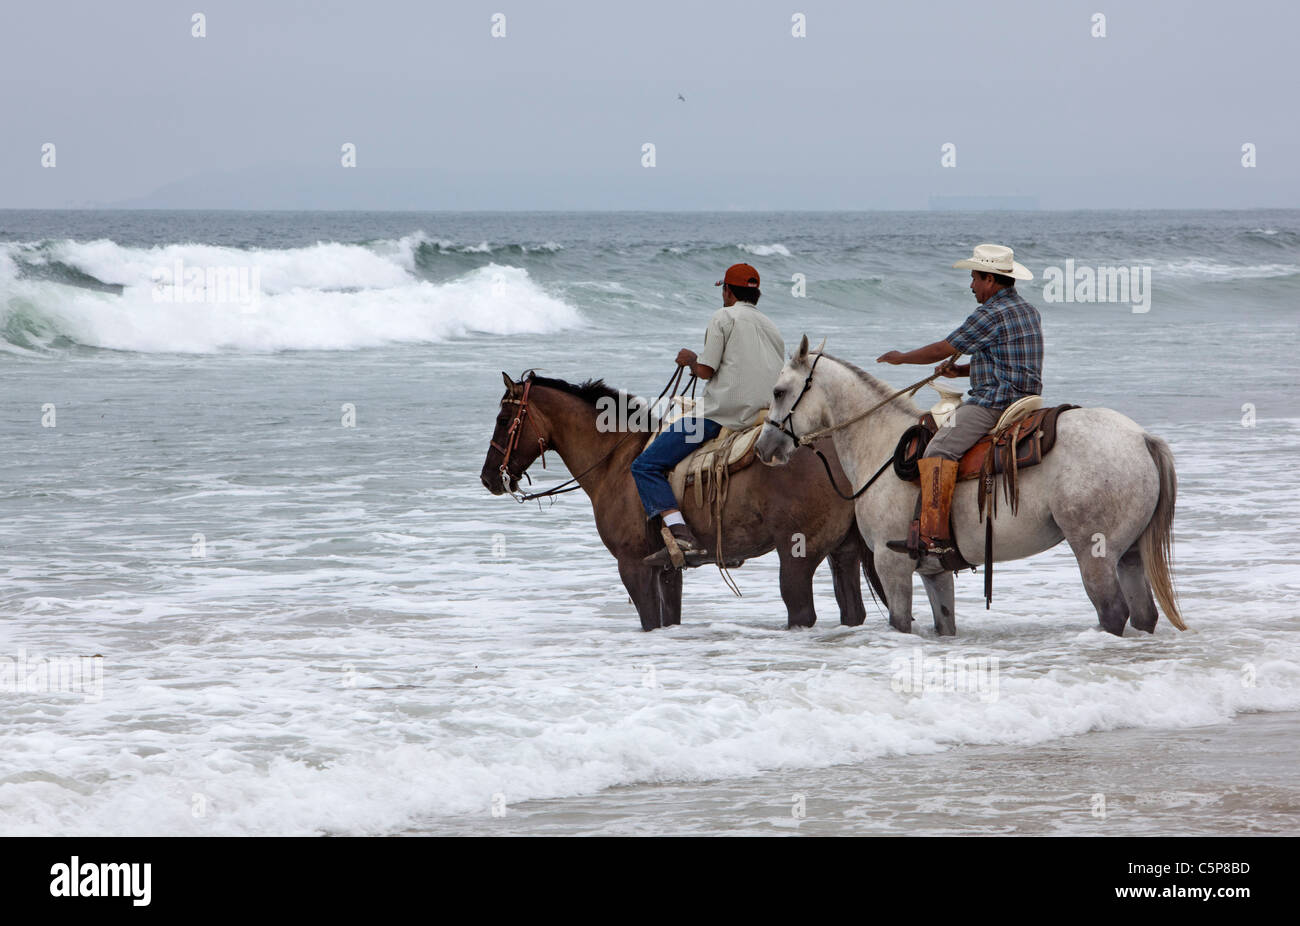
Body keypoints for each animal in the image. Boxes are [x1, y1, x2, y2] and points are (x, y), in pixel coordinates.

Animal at [479, 371, 888, 631]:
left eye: (503, 419)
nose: (487, 478)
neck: (616, 461)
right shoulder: (667, 569)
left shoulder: (633, 565)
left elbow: (649, 621)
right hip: (843, 551)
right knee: (852, 610)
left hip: (797, 554)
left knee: (801, 610)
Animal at [754, 336, 1186, 637]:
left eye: (778, 392)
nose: (763, 448)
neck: (881, 446)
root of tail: (1141, 438)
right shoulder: (933, 572)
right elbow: (944, 624)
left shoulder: (891, 564)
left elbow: (900, 623)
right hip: (1129, 554)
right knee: (1144, 614)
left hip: (1095, 552)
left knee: (1113, 612)